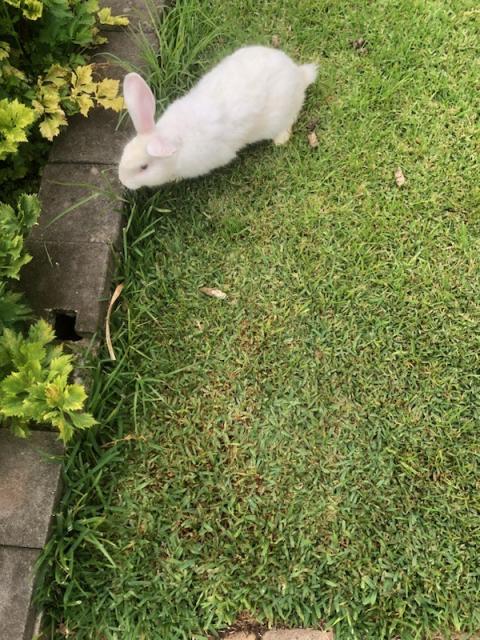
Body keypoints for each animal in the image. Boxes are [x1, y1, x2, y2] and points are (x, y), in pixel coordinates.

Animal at [118, 45, 317, 190]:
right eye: (124, 152)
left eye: (144, 167)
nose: (122, 181)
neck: (173, 140)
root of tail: (298, 74)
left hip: (283, 113)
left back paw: (280, 139)